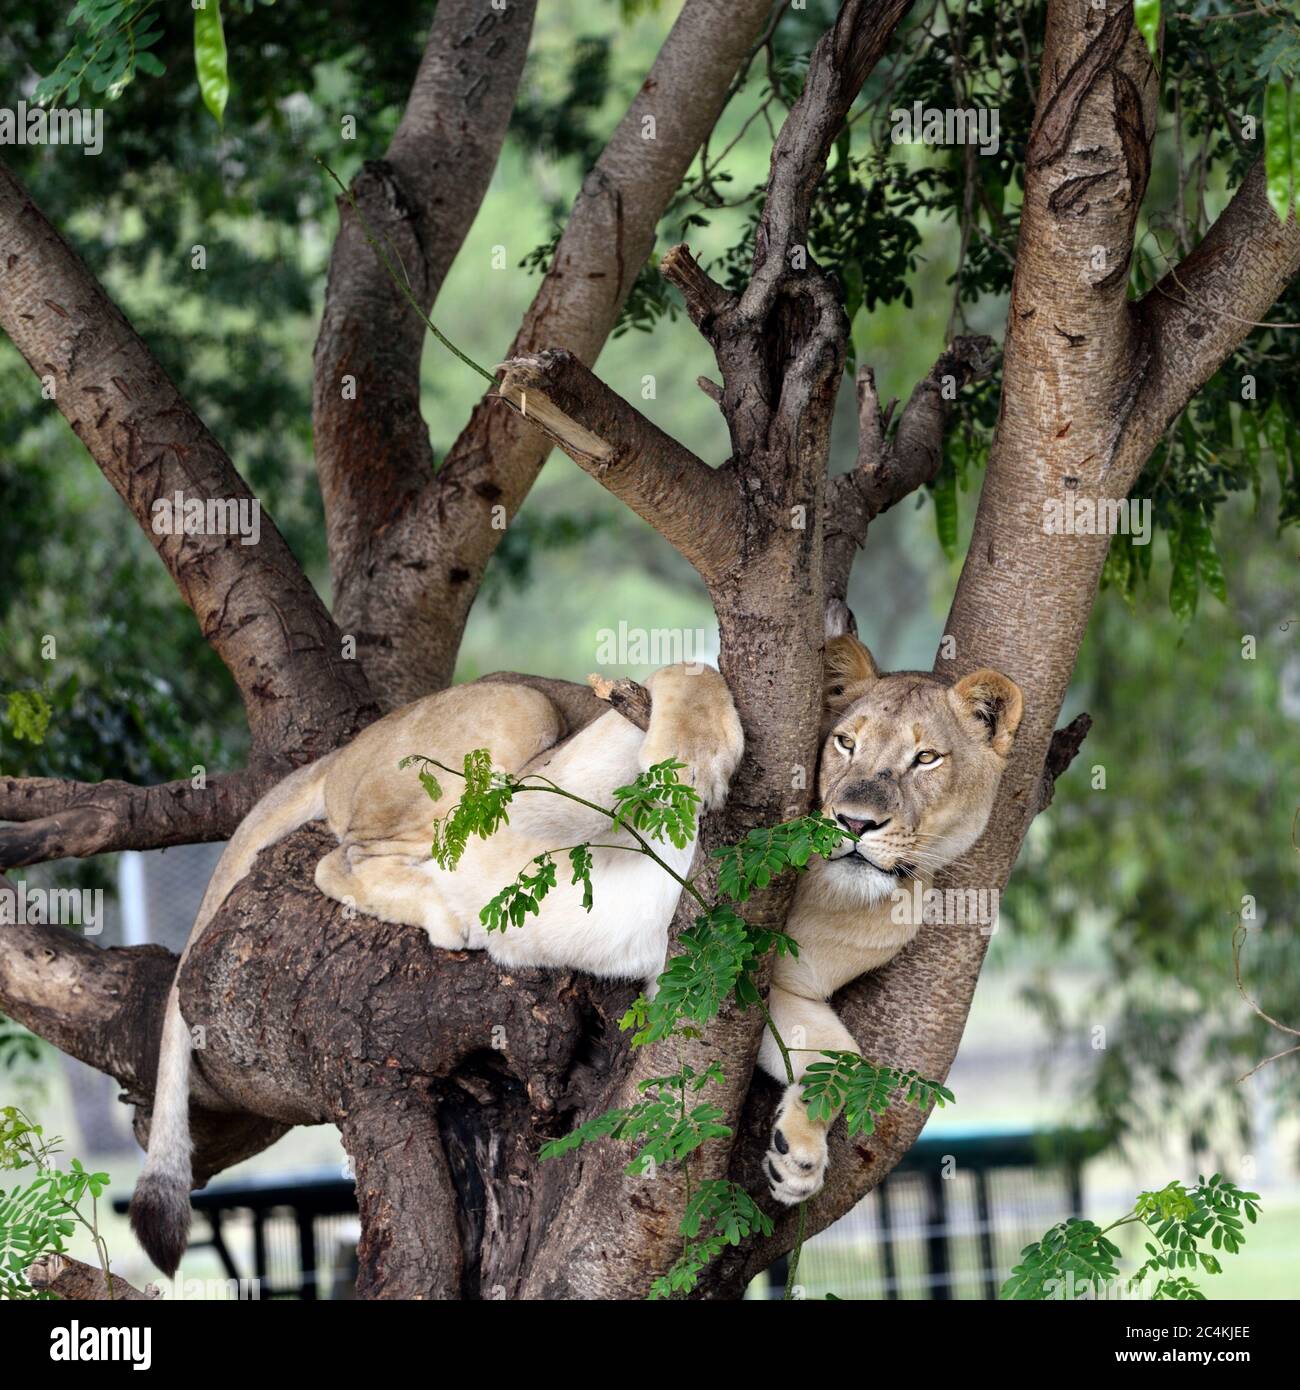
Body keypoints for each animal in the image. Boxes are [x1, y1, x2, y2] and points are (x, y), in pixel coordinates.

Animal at [130, 639, 1021, 1274]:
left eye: (926, 759)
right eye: (844, 742)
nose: (855, 822)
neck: (824, 889)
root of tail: (347, 746)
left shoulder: (774, 987)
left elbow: (846, 1060)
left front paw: (797, 1159)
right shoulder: (547, 791)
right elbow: (688, 673)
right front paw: (695, 762)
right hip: (518, 710)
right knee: (337, 860)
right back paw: (446, 912)